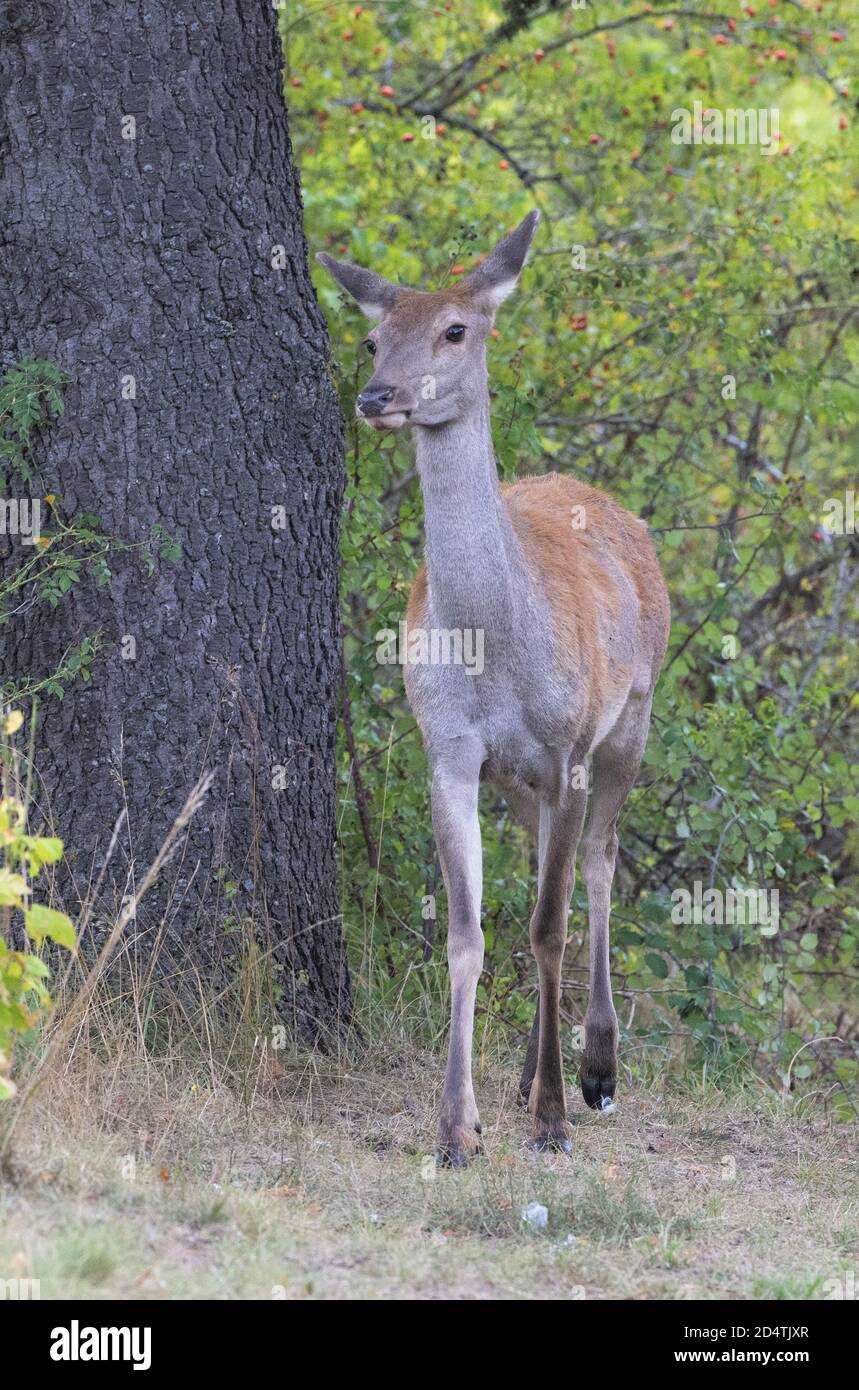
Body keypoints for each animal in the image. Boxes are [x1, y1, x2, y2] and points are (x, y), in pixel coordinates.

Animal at [318, 211, 670, 1166]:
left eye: (455, 330)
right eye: (372, 336)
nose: (376, 396)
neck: (492, 649)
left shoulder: (565, 744)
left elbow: (546, 925)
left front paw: (552, 1117)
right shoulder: (447, 750)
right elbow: (467, 934)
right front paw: (455, 1127)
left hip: (628, 721)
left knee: (598, 862)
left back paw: (594, 1070)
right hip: (519, 781)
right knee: (548, 869)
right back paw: (520, 1075)